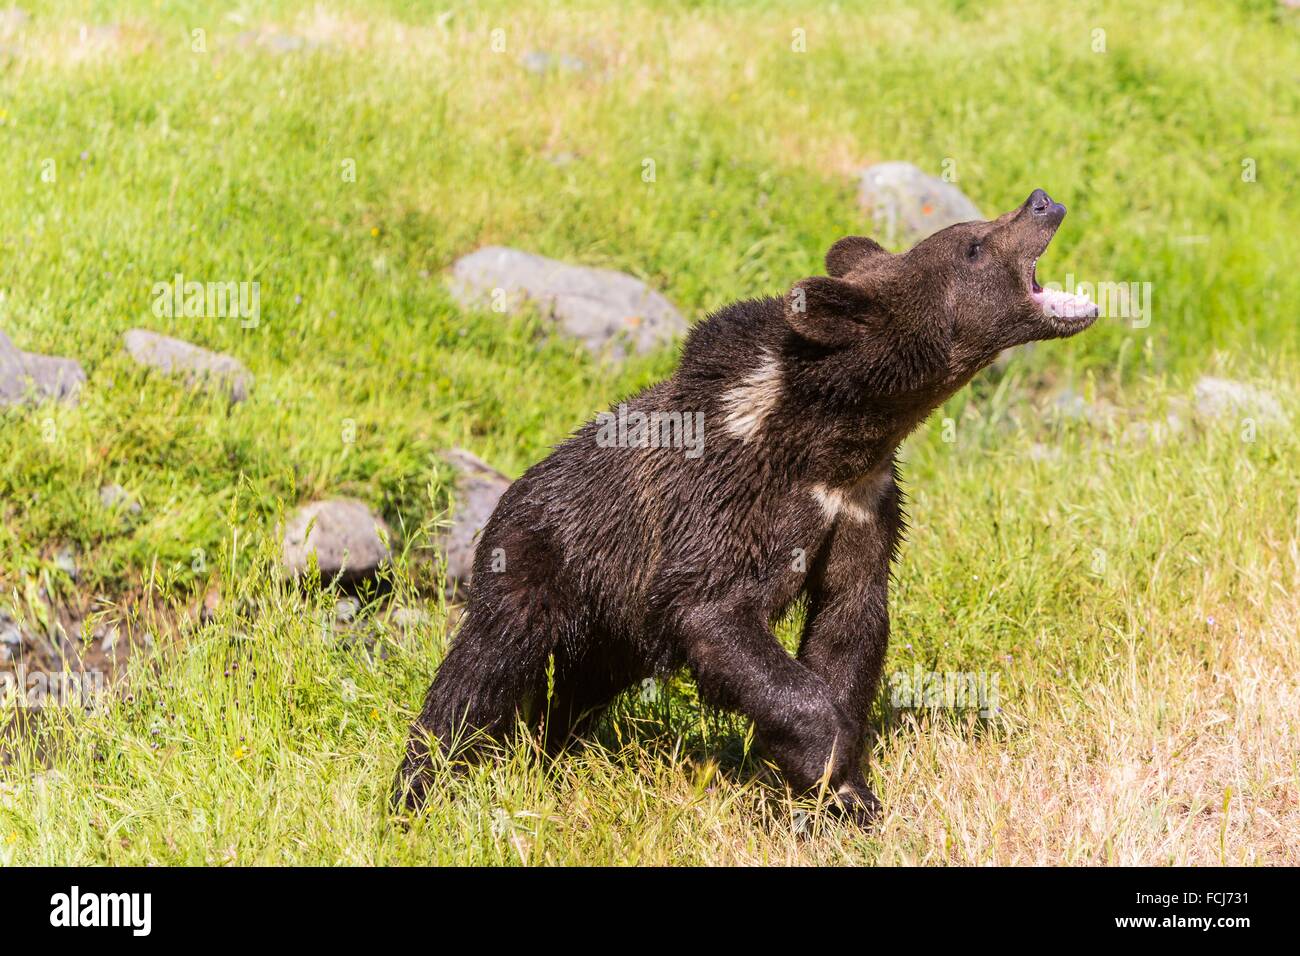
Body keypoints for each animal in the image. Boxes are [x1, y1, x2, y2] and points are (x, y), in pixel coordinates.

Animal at [395, 189, 1098, 824]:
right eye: (973, 243)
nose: (1042, 202)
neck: (834, 438)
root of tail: (509, 492)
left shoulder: (863, 508)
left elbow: (849, 624)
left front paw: (842, 792)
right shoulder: (724, 505)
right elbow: (716, 613)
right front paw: (824, 766)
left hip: (610, 625)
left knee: (575, 689)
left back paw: (549, 751)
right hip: (539, 560)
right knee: (478, 674)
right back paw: (418, 788)